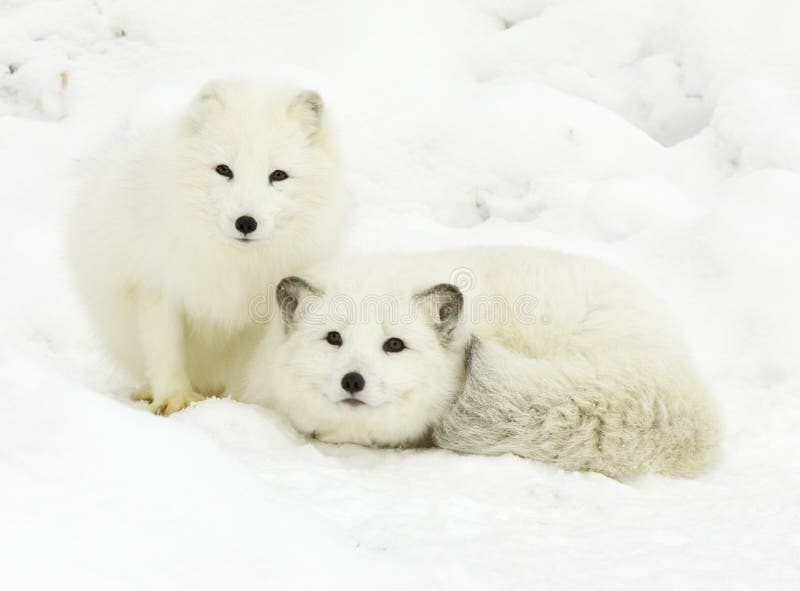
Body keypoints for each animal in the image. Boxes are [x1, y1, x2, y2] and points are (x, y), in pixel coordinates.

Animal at [70, 79, 342, 414]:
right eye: (224, 169)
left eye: (278, 175)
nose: (245, 222)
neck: (231, 262)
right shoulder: (157, 287)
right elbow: (166, 351)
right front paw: (174, 399)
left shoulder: (259, 315)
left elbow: (244, 369)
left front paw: (234, 406)